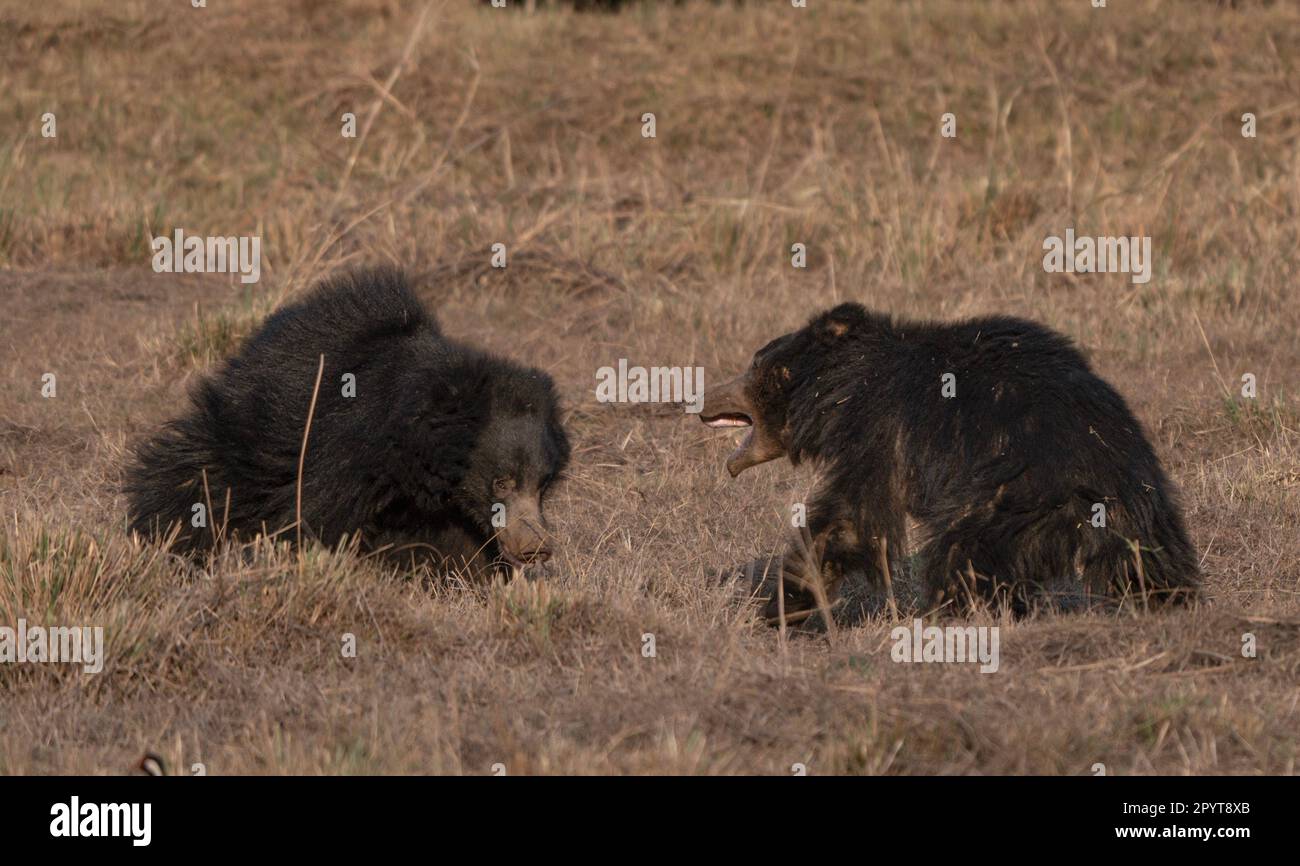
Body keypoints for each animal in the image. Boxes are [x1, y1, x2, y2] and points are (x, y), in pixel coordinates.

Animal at [125, 267, 570, 577]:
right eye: (502, 482)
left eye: (541, 484)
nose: (537, 547)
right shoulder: (350, 446)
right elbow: (314, 513)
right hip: (254, 425)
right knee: (199, 474)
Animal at [699, 303, 1200, 622]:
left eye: (753, 365)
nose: (699, 399)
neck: (841, 386)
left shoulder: (878, 429)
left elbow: (851, 518)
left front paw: (780, 605)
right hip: (1144, 511)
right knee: (1150, 561)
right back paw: (1169, 599)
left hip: (1012, 499)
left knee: (959, 554)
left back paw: (954, 613)